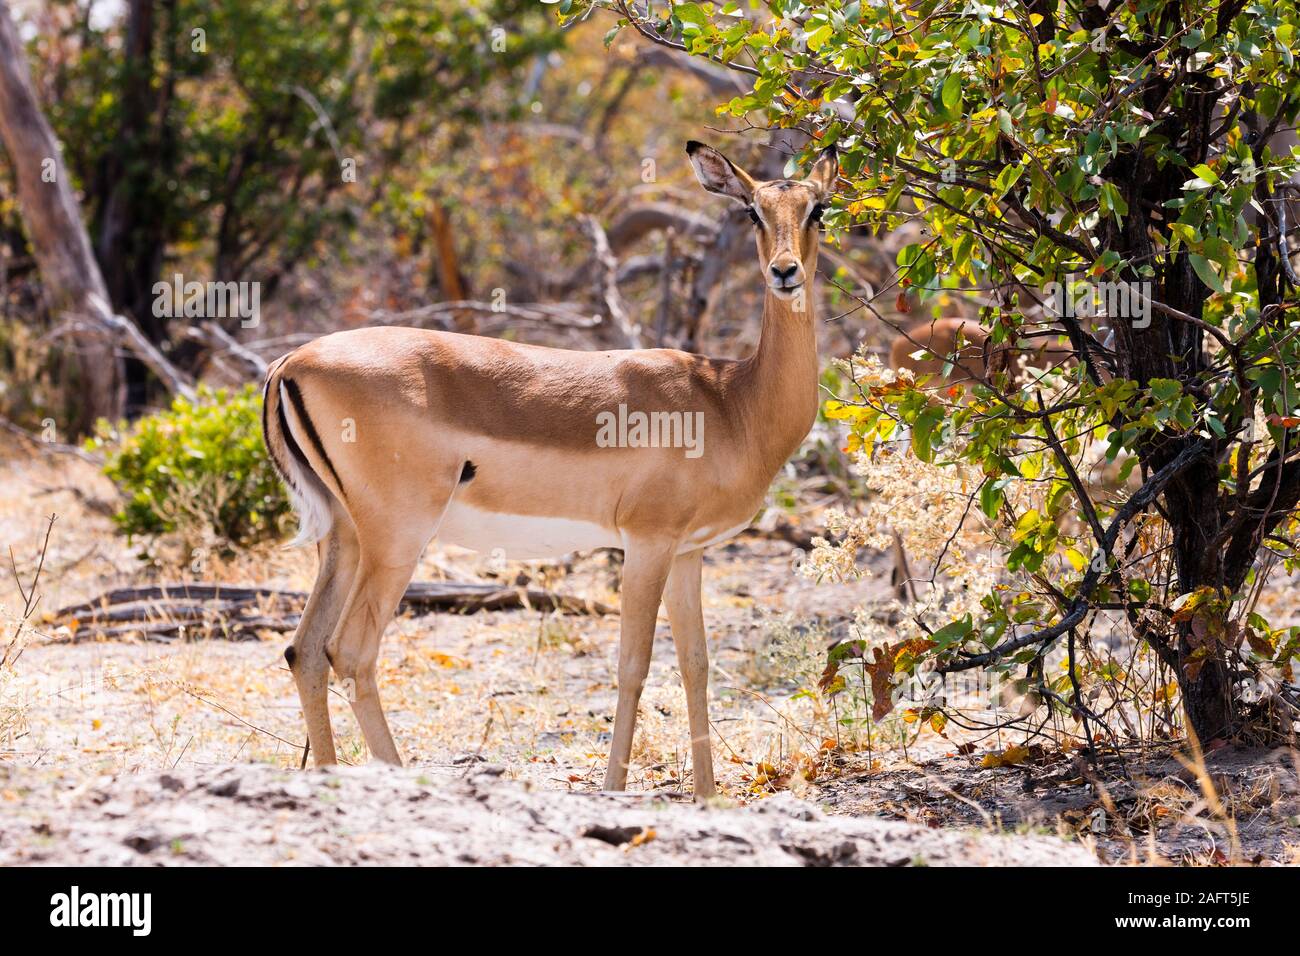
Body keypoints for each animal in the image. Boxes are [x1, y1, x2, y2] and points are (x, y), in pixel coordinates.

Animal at [261, 140, 839, 798]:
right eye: (752, 212)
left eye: (817, 208)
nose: (785, 273)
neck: (730, 400)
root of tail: (289, 363)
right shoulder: (647, 543)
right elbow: (633, 666)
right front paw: (613, 790)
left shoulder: (689, 552)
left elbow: (695, 664)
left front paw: (709, 799)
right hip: (397, 539)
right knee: (351, 652)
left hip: (345, 537)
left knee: (305, 650)